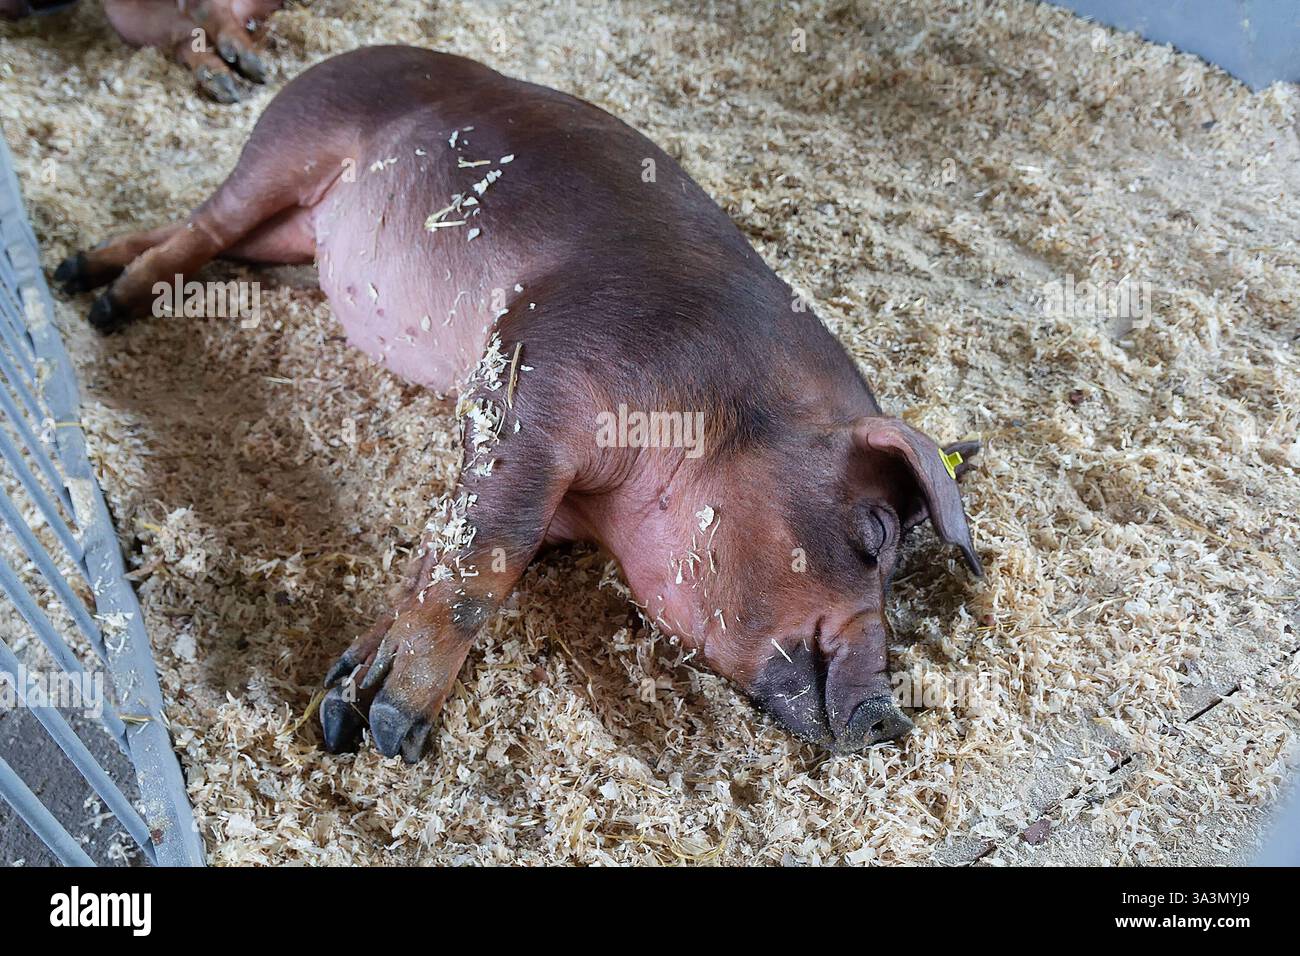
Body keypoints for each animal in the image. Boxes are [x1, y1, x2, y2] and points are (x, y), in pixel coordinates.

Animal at [56, 46, 983, 762]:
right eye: (876, 536)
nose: (891, 720)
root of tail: (337, 54)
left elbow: (445, 552)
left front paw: (343, 705)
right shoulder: (534, 376)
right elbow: (482, 557)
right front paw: (392, 733)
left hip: (295, 230)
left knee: (203, 234)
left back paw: (75, 271)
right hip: (289, 146)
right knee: (203, 227)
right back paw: (105, 307)